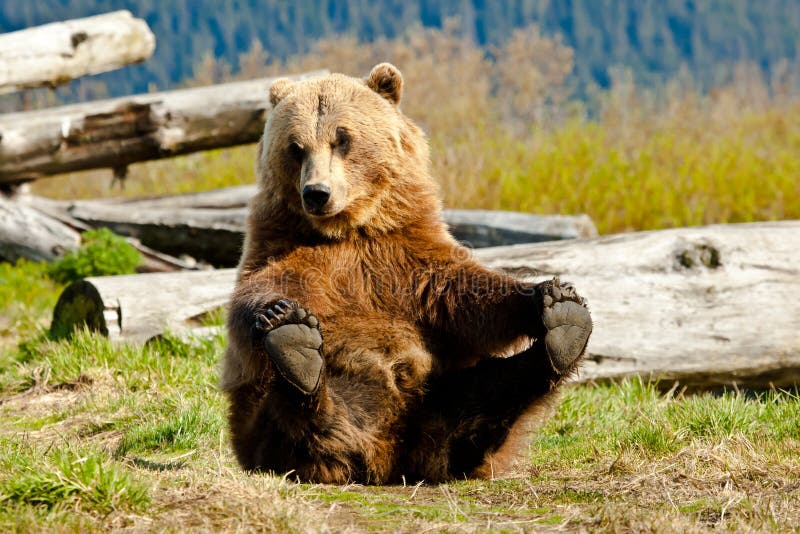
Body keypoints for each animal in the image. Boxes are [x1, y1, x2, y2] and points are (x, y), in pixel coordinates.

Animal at [221, 63, 592, 484]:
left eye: (342, 139)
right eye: (295, 147)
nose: (317, 193)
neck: (351, 227)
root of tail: (386, 457)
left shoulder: (405, 258)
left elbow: (466, 293)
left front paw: (553, 295)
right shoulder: (294, 250)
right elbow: (263, 288)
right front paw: (280, 314)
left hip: (436, 398)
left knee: (492, 395)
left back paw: (564, 331)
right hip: (267, 420)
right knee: (293, 419)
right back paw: (297, 353)